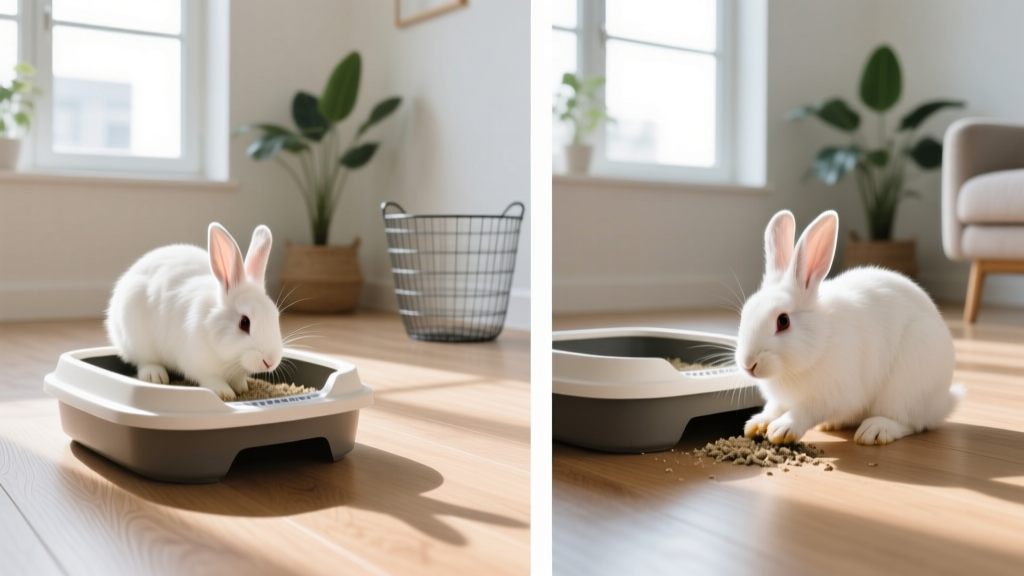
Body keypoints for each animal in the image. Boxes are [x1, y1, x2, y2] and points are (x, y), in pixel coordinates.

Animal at [105, 223, 284, 399]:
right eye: (244, 323)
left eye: (276, 316)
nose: (270, 362)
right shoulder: (197, 364)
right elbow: (210, 379)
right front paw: (225, 394)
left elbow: (238, 379)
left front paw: (242, 388)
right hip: (135, 337)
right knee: (143, 360)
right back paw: (155, 376)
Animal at [735, 209, 964, 445]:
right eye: (745, 312)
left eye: (783, 321)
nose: (748, 364)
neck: (822, 339)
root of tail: (943, 403)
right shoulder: (781, 400)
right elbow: (774, 408)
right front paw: (756, 424)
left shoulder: (835, 394)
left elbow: (805, 411)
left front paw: (782, 429)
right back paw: (831, 425)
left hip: (907, 384)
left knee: (910, 422)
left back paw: (875, 430)